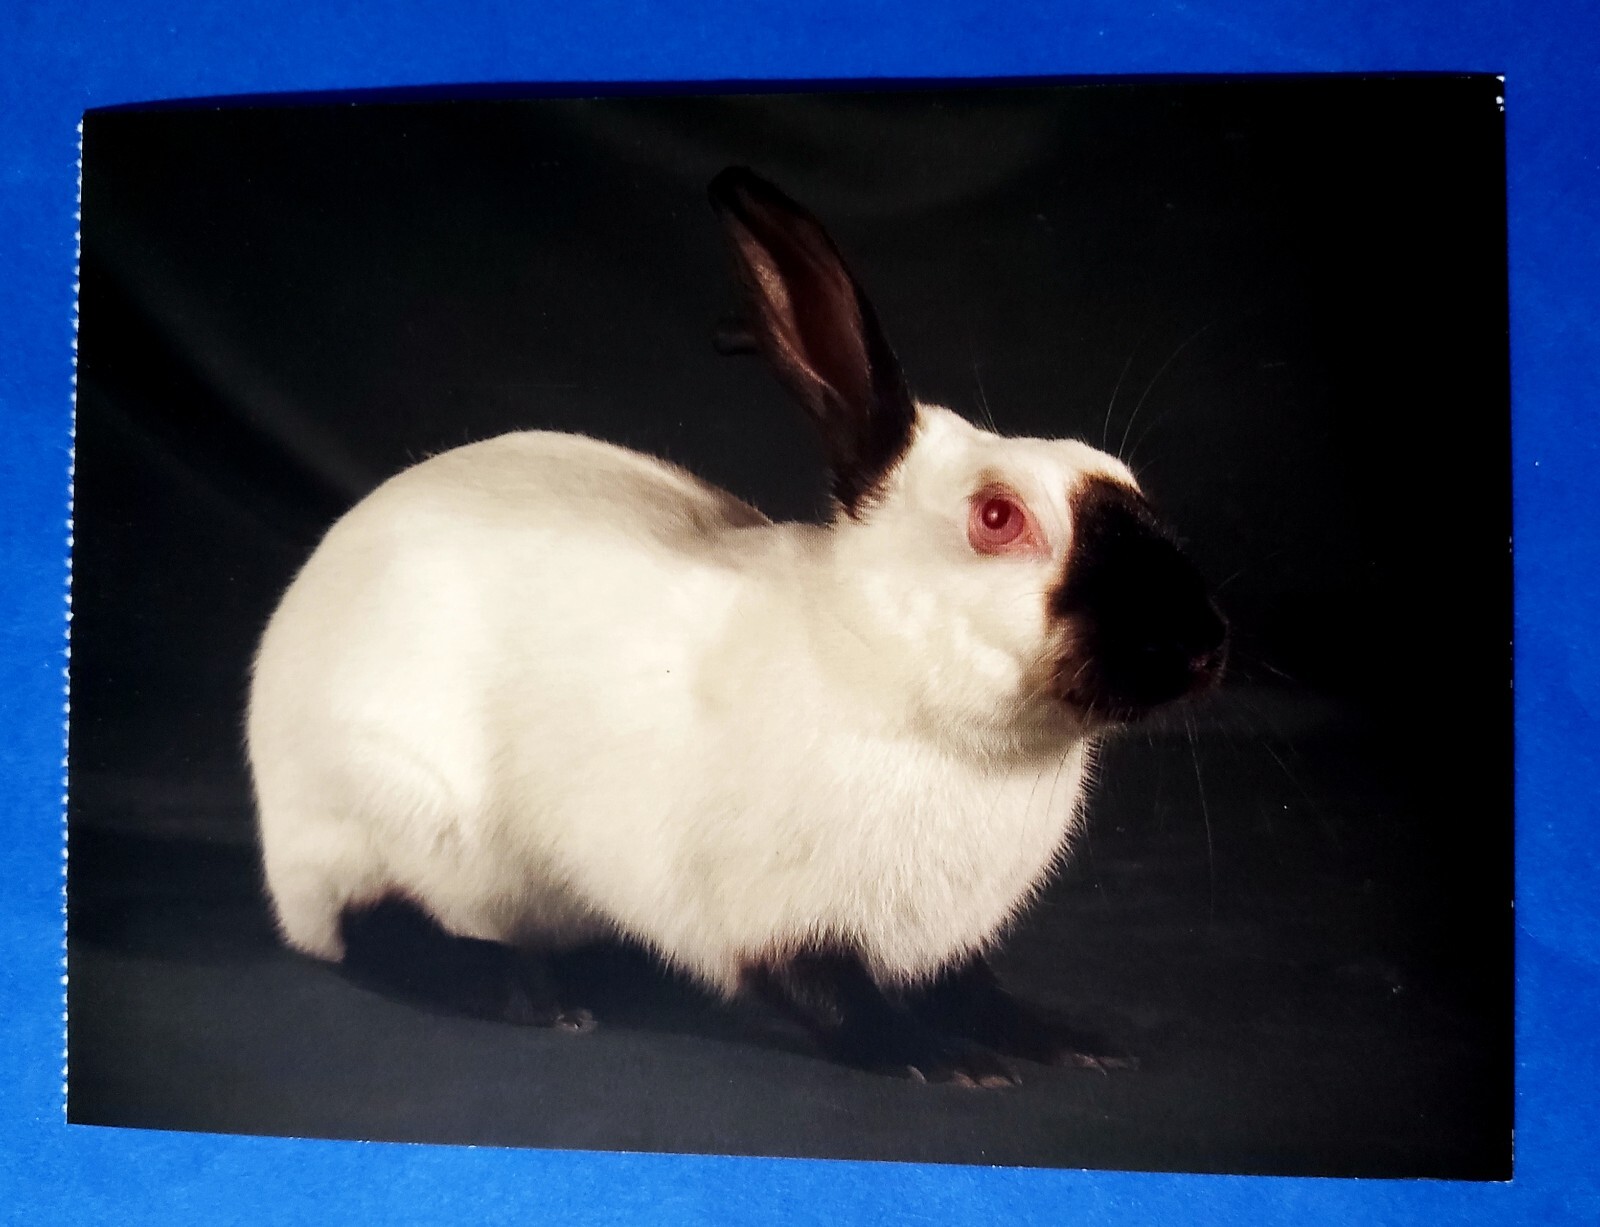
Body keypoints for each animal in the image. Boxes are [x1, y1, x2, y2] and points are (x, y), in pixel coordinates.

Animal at [247, 166, 1228, 1086]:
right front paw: (934, 1059)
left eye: (1124, 477)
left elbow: (973, 991)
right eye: (997, 517)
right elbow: (831, 997)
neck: (893, 679)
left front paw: (1064, 1039)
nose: (1207, 644)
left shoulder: (945, 939)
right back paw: (525, 992)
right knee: (363, 927)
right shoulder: (774, 915)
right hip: (386, 808)